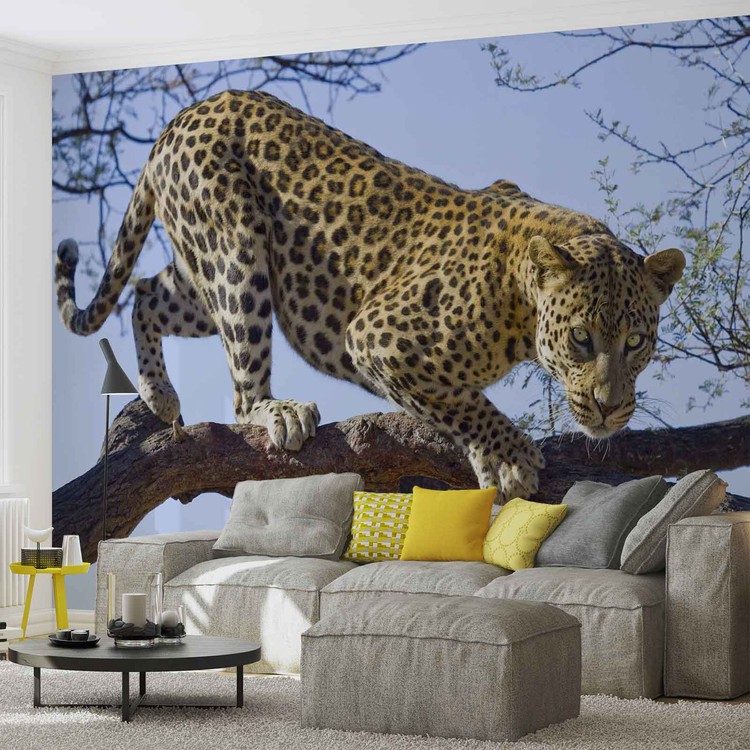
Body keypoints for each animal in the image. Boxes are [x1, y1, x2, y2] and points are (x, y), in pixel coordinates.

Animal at [55, 89, 685, 501]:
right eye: (580, 338)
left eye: (635, 342)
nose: (608, 408)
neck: (522, 303)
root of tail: (182, 116)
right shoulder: (377, 335)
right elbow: (463, 401)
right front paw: (507, 457)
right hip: (235, 252)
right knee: (240, 391)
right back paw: (278, 410)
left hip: (207, 269)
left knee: (146, 293)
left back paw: (159, 395)